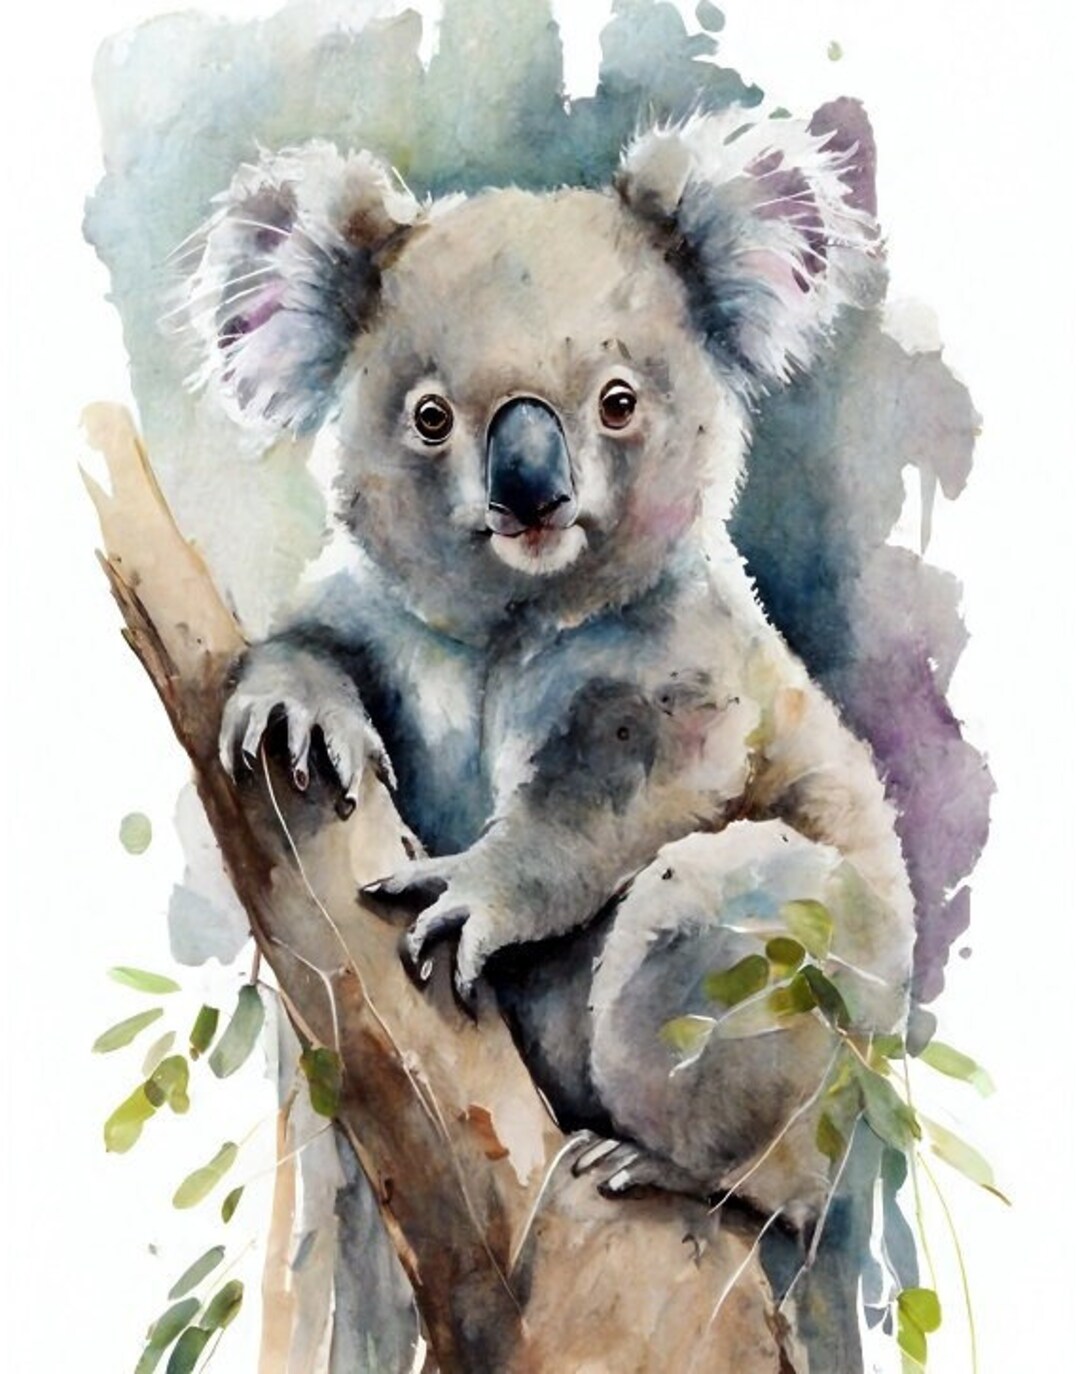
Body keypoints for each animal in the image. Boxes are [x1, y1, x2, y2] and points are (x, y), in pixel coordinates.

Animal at [196, 105, 916, 1229]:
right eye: (431, 417)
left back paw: (669, 1166)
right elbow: (309, 643)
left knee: (720, 936)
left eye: (618, 401)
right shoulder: (383, 613)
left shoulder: (682, 675)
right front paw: (294, 709)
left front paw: (467, 894)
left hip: (812, 1000)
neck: (513, 628)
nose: (531, 490)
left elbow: (607, 799)